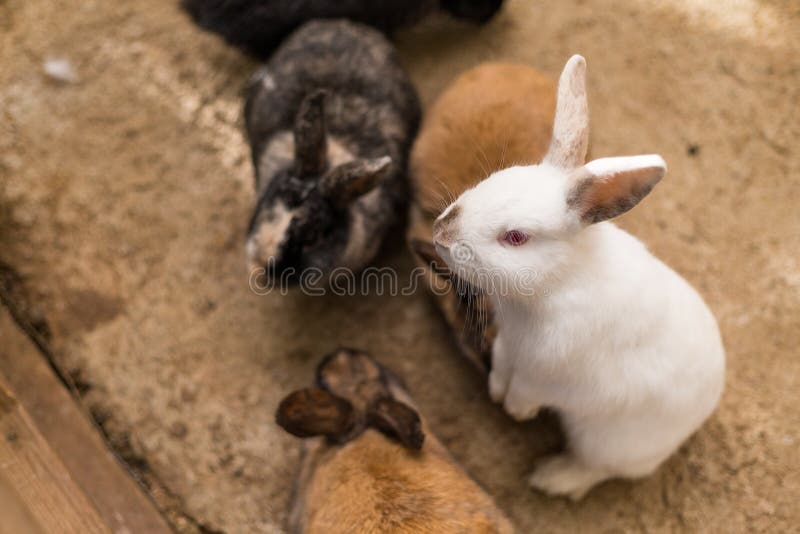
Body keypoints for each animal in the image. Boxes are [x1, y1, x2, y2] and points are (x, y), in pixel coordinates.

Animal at [431, 55, 725, 500]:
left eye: (515, 237)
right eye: (493, 179)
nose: (441, 233)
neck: (555, 284)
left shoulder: (552, 375)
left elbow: (529, 391)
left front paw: (514, 410)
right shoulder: (509, 345)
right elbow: (501, 364)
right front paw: (496, 392)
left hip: (603, 440)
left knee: (600, 470)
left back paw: (551, 477)